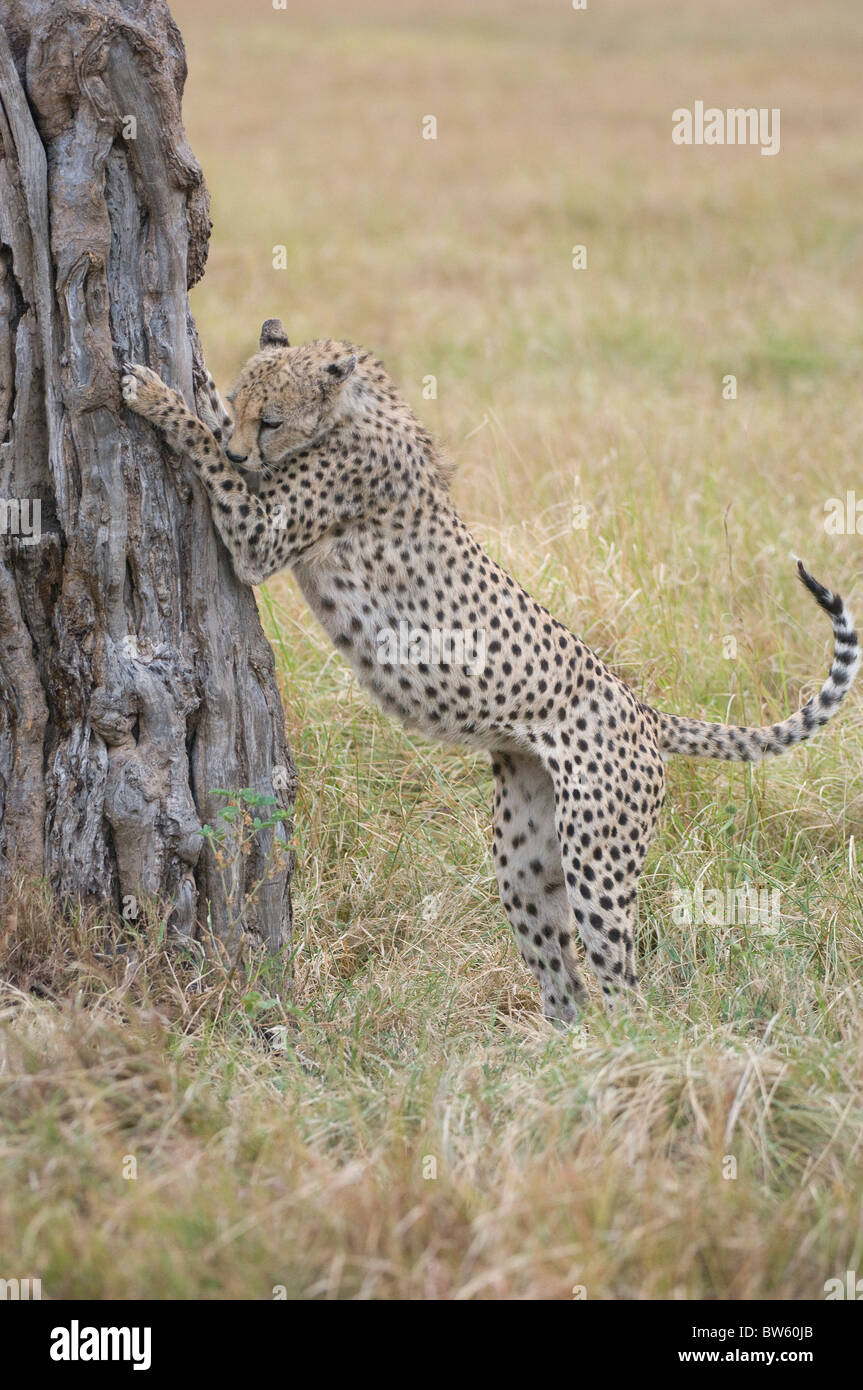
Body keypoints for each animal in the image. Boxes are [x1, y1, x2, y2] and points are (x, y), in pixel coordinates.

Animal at [120, 320, 860, 1023]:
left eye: (272, 420)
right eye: (247, 409)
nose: (244, 450)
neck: (357, 410)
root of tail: (642, 709)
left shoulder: (260, 537)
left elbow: (205, 453)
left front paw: (156, 395)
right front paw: (198, 394)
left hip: (598, 855)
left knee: (624, 987)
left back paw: (620, 1051)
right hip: (526, 858)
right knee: (564, 980)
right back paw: (561, 1053)